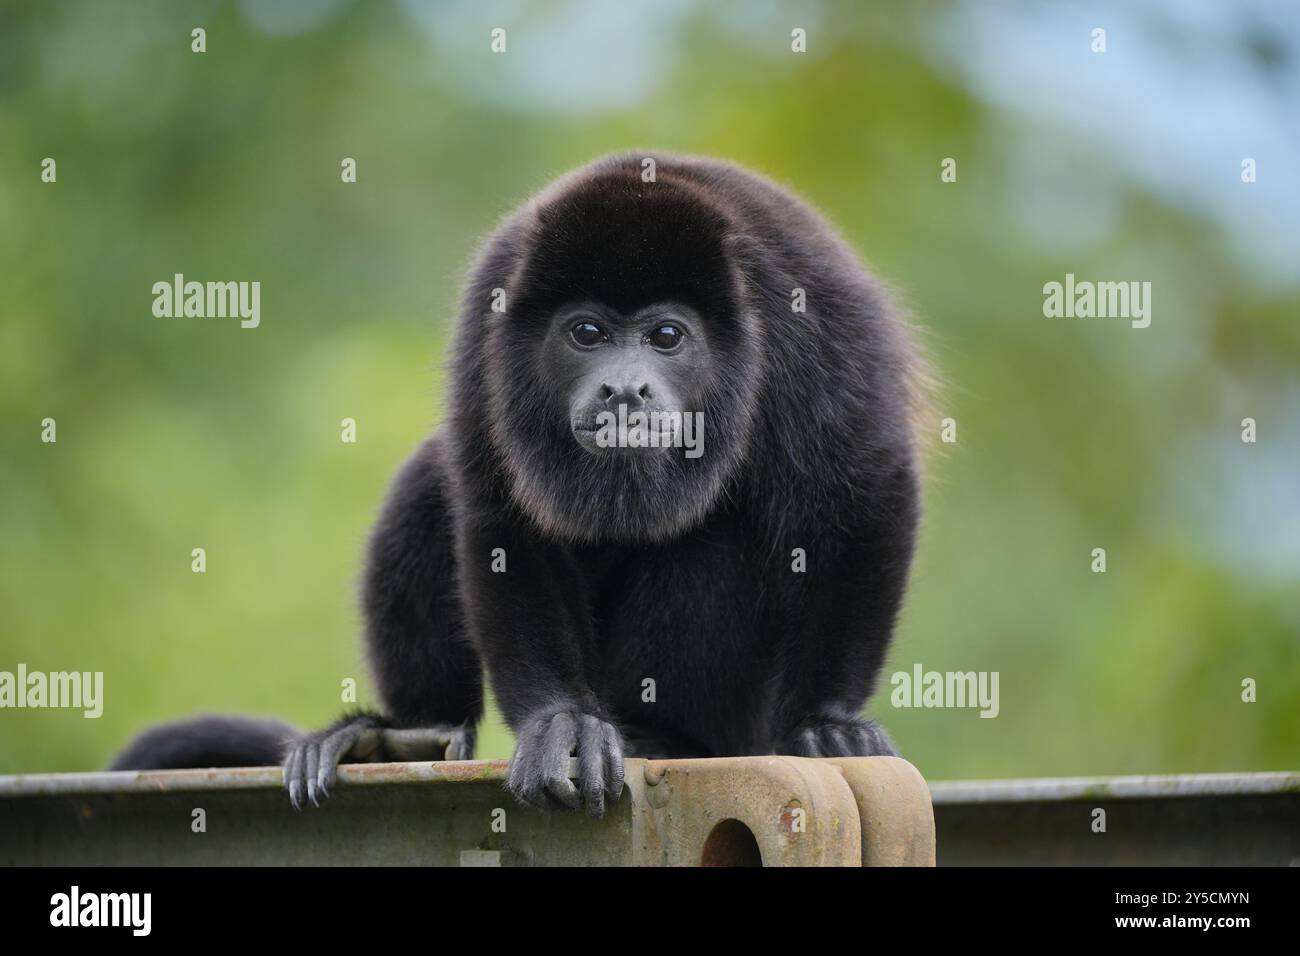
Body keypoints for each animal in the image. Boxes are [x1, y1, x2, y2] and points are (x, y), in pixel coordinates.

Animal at [110, 152, 927, 818]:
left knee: (721, 536)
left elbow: (862, 492)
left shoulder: (817, 321)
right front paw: (562, 726)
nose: (623, 390)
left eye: (667, 336)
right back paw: (400, 736)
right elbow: (496, 509)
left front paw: (826, 720)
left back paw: (659, 733)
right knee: (429, 478)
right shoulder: (488, 319)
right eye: (587, 333)